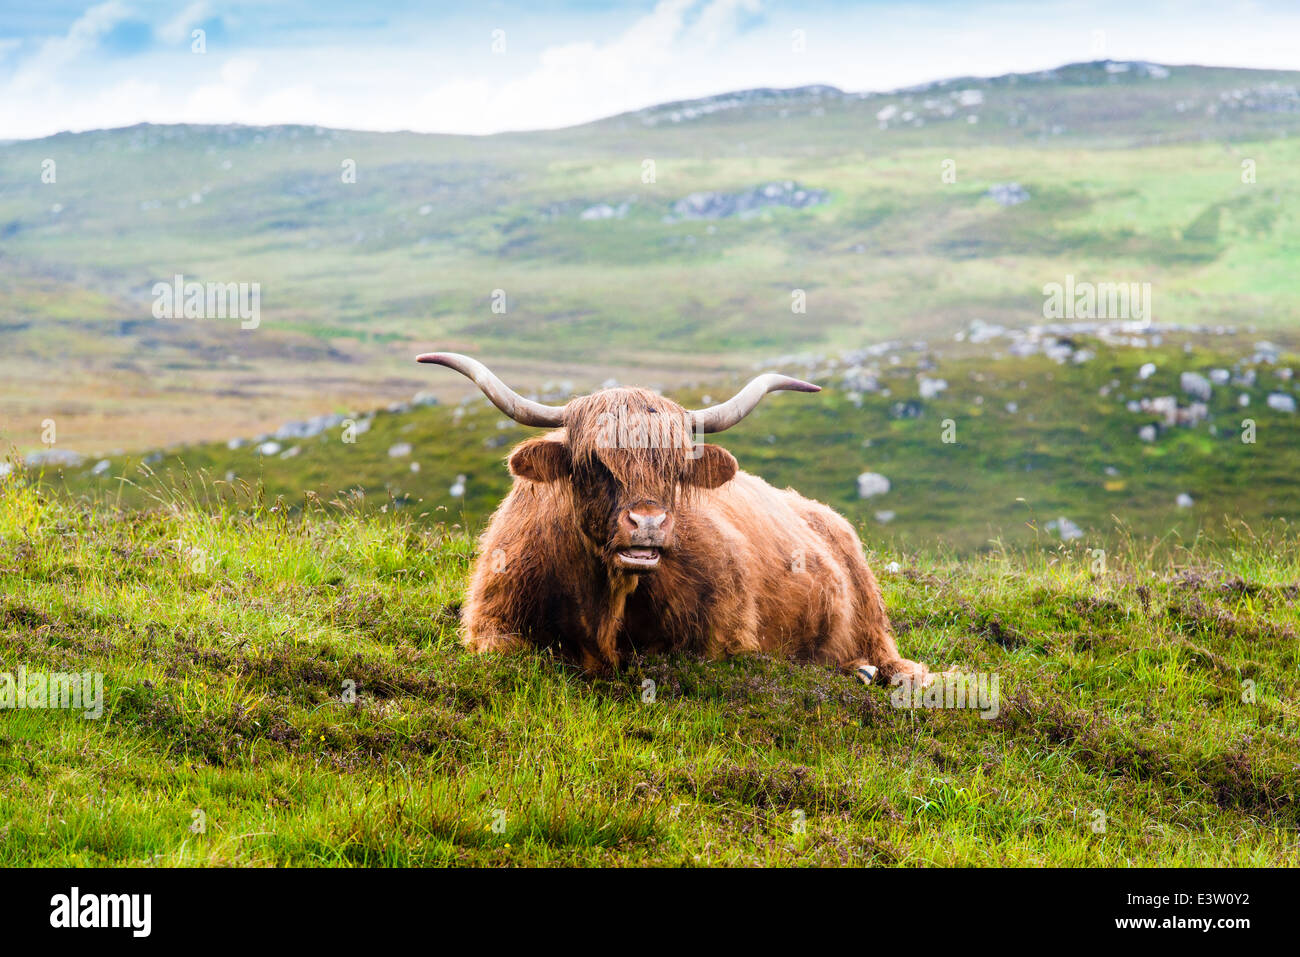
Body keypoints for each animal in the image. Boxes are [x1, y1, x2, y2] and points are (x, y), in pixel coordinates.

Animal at [418, 352, 939, 687]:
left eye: (674, 468)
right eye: (594, 463)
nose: (647, 523)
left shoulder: (723, 638)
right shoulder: (491, 621)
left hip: (869, 610)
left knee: (894, 659)